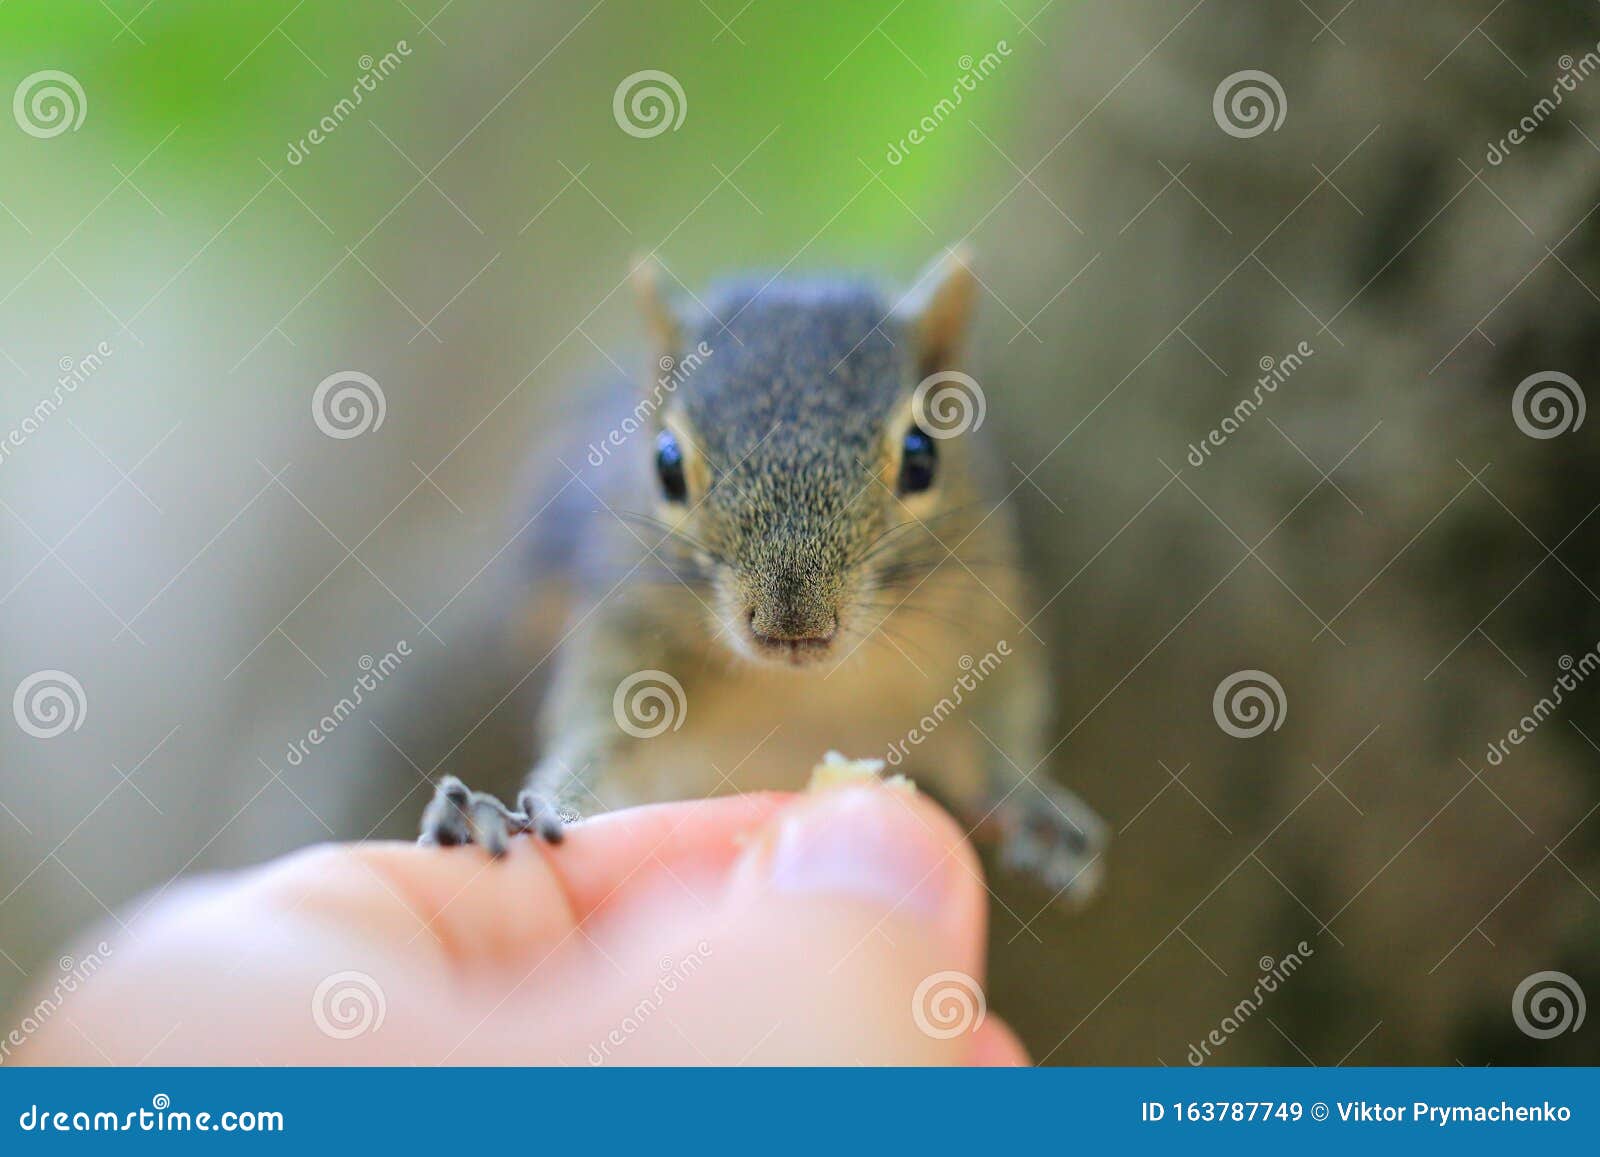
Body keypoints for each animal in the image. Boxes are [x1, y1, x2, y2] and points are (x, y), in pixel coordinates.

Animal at [419, 249, 1107, 907]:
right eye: (666, 465)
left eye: (922, 456)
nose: (793, 625)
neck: (804, 694)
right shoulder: (624, 642)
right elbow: (602, 752)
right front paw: (516, 813)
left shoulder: (987, 627)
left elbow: (997, 726)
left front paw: (1027, 801)